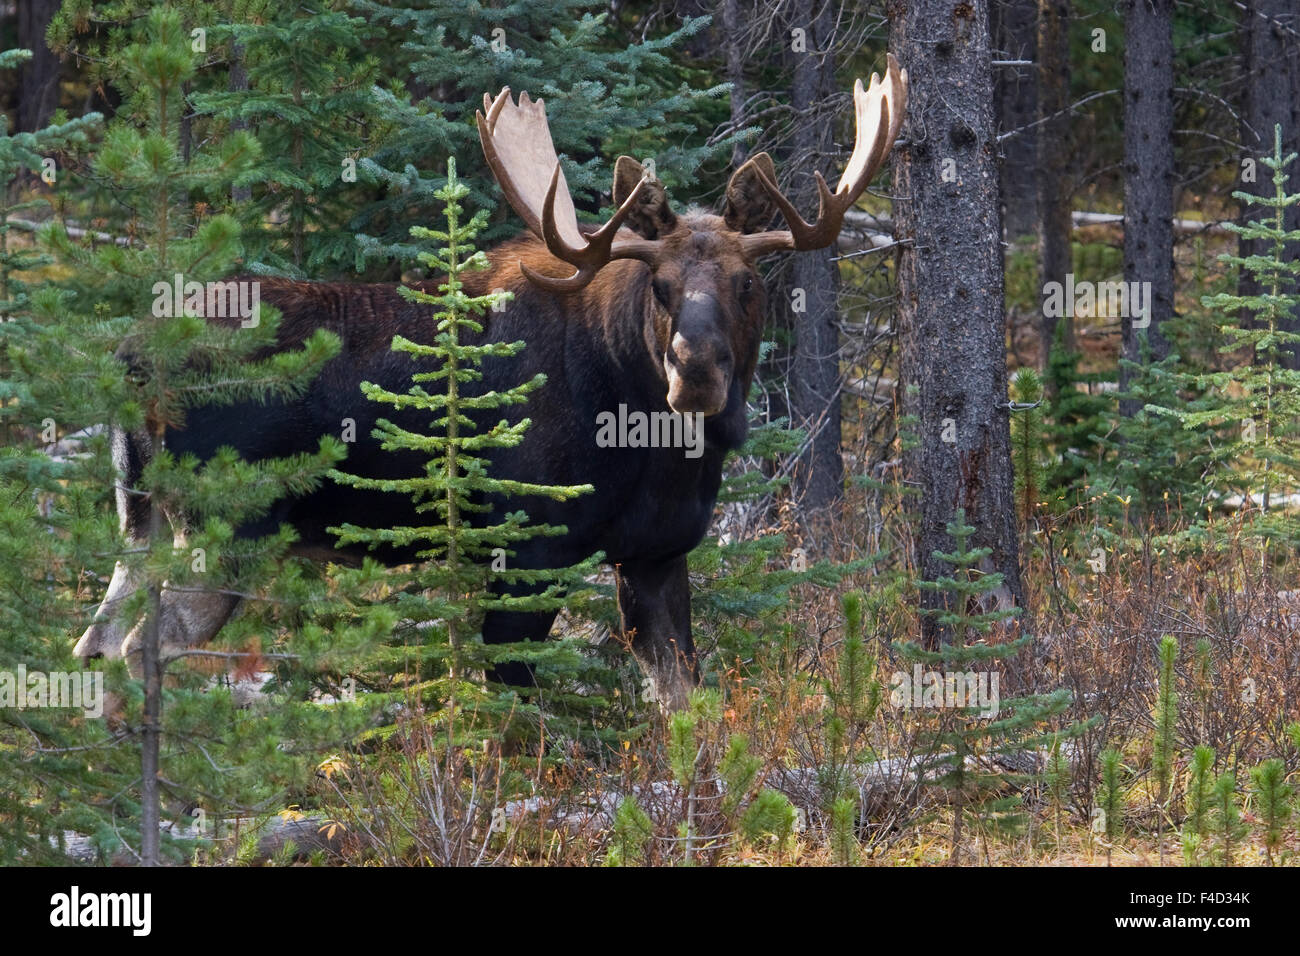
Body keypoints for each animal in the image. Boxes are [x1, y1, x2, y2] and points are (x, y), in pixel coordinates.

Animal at [74, 57, 908, 710]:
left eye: (746, 282)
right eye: (661, 285)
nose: (695, 368)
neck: (660, 448)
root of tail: (127, 355)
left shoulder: (656, 552)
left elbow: (685, 702)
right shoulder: (527, 549)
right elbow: (511, 705)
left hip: (141, 517)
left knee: (95, 640)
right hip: (227, 524)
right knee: (139, 646)